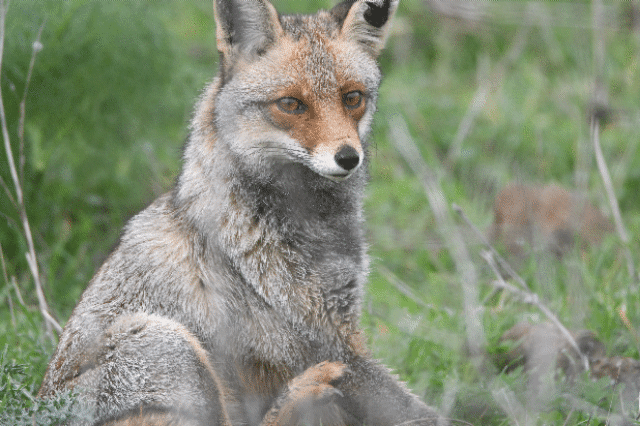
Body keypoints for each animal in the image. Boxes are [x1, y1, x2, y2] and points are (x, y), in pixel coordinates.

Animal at [38, 0, 443, 425]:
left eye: (353, 98)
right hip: (167, 341)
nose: (348, 157)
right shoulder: (322, 338)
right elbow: (421, 412)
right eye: (291, 104)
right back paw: (300, 395)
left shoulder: (341, 326)